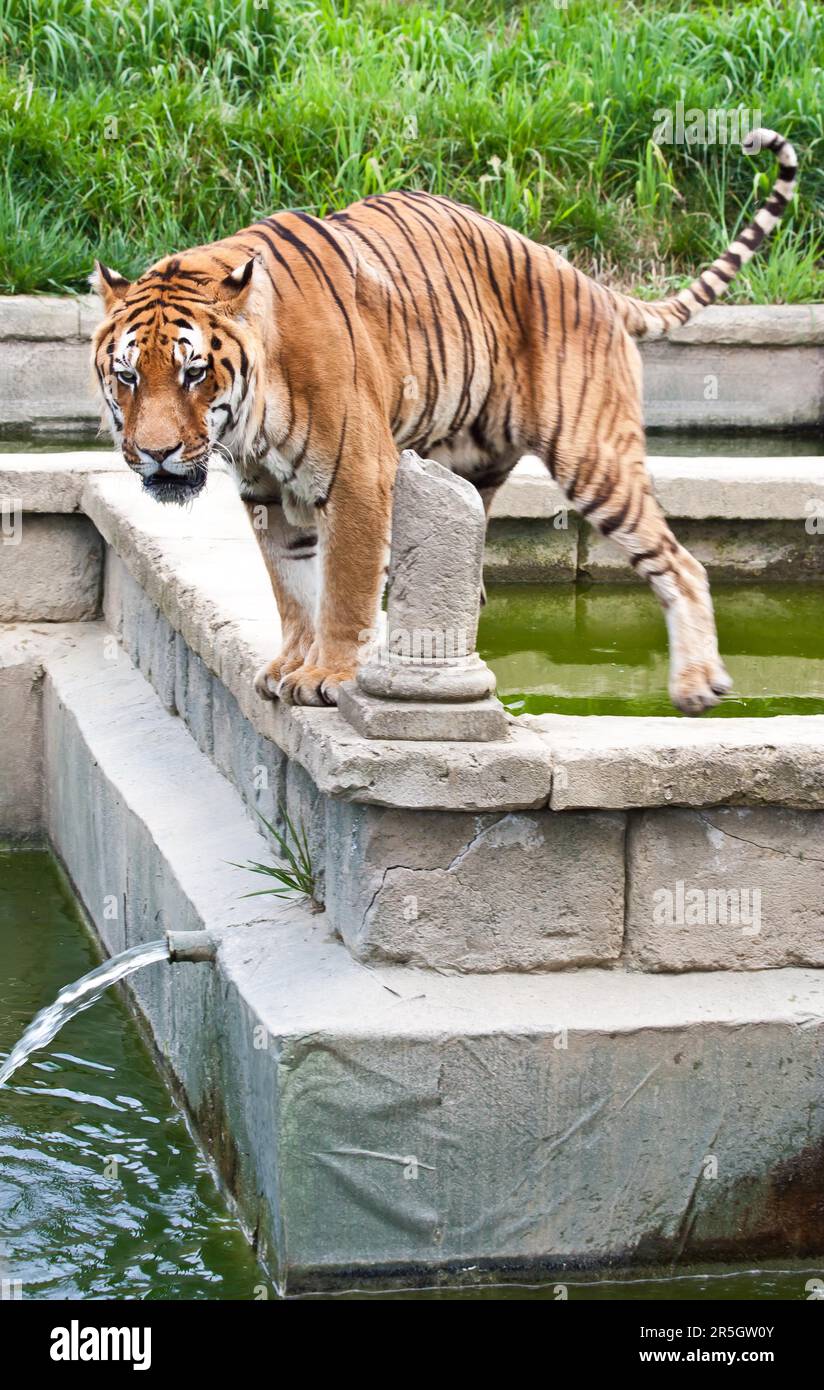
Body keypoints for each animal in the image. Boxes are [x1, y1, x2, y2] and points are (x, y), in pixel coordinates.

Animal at [92, 127, 797, 715]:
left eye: (192, 373)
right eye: (128, 376)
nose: (155, 453)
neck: (249, 419)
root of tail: (589, 281)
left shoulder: (358, 476)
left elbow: (343, 588)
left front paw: (327, 676)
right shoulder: (266, 493)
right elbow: (293, 589)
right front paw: (290, 664)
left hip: (593, 457)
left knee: (682, 563)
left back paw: (698, 686)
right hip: (467, 469)